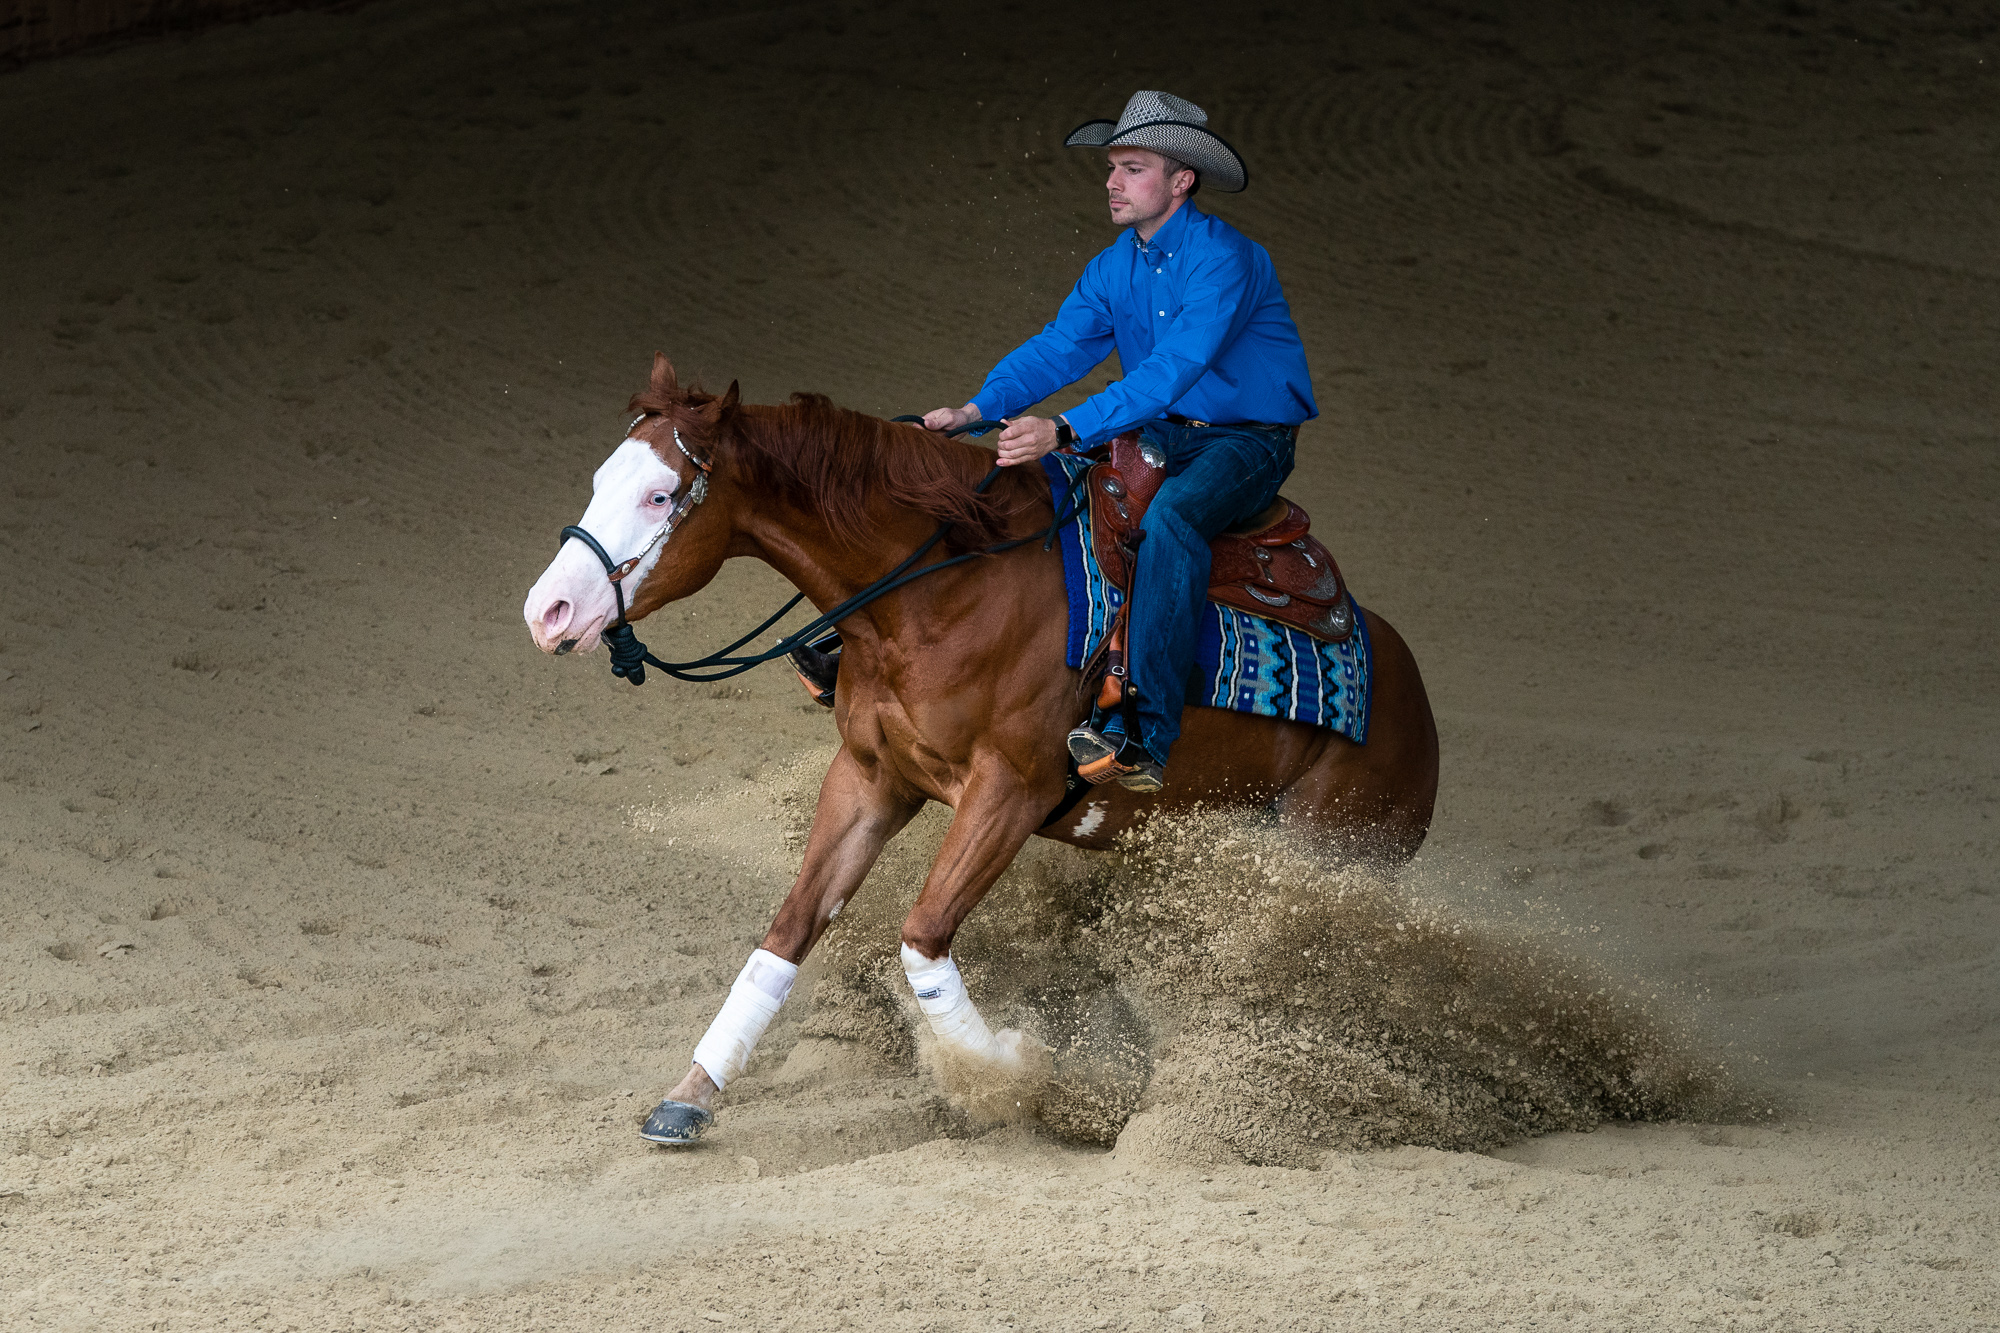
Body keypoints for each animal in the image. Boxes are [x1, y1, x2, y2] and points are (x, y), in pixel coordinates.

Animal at [522, 354, 1439, 1144]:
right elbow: (788, 930)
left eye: (659, 495)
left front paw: (1012, 1069)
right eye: (602, 480)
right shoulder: (870, 778)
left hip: (1336, 849)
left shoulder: (1009, 792)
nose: (547, 611)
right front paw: (692, 1093)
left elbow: (921, 936)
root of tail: (1416, 703)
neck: (941, 590)